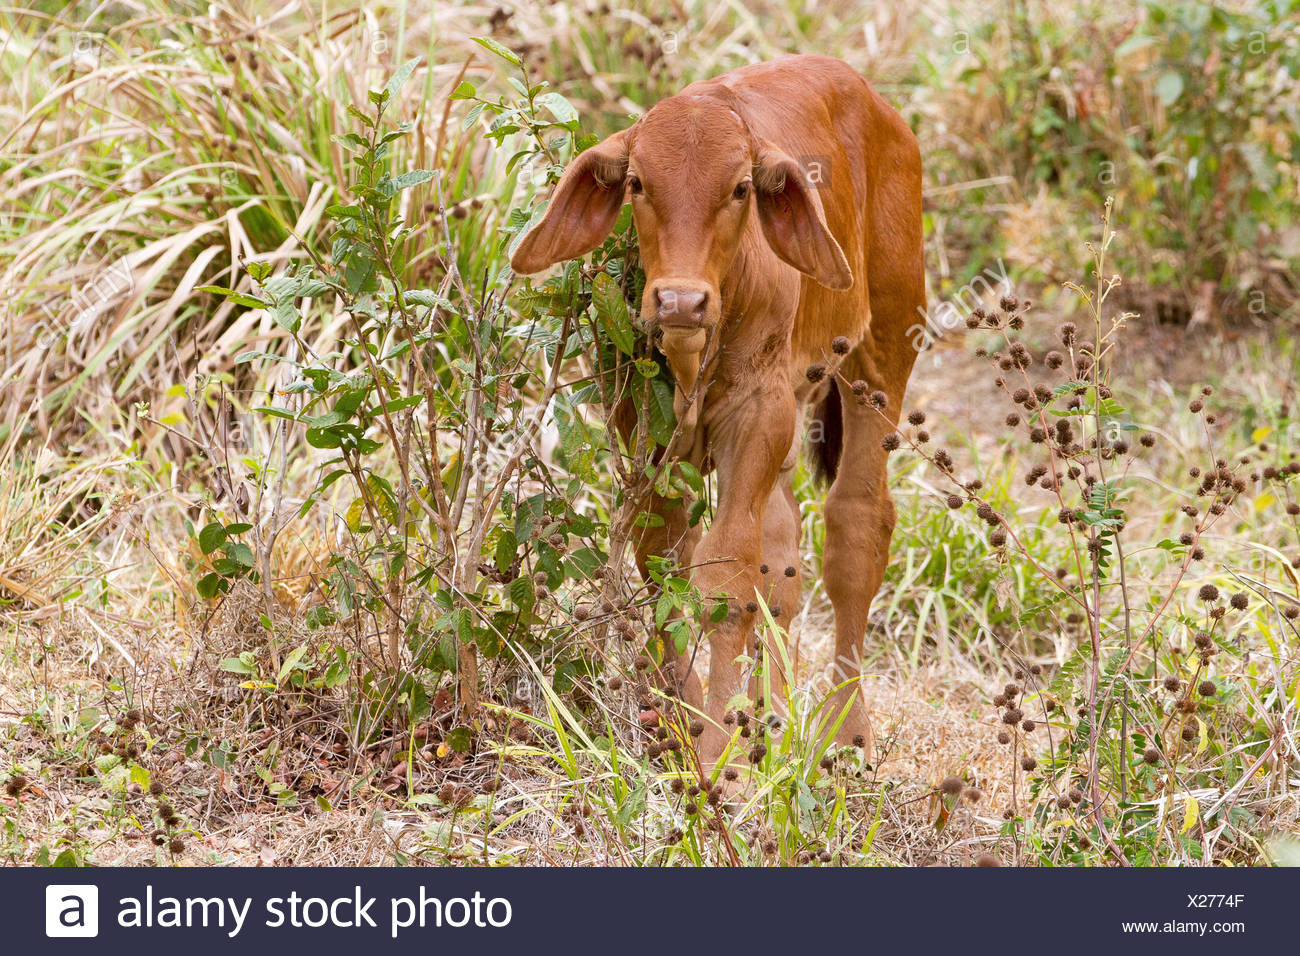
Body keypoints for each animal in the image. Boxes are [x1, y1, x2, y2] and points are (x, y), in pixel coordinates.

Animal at [511, 54, 924, 769]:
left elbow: (725, 584)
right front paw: (686, 725)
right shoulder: (643, 429)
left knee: (857, 527)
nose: (681, 301)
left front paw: (718, 758)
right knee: (782, 555)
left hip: (886, 350)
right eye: (638, 183)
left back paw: (847, 735)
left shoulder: (757, 418)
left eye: (739, 189)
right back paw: (771, 719)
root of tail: (879, 106)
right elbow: (667, 574)